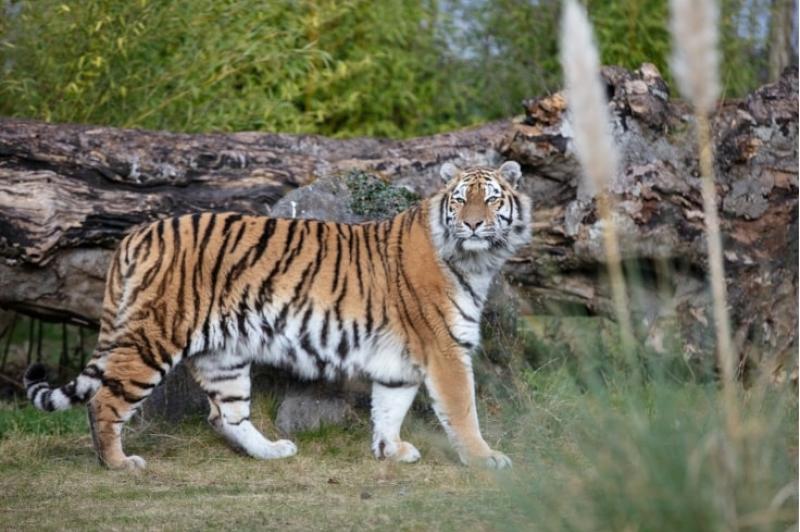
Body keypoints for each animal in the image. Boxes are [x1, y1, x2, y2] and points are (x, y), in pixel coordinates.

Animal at [24, 161, 532, 471]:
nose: (472, 224)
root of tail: (137, 233)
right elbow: (462, 410)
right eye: (461, 199)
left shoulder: (401, 360)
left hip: (224, 354)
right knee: (104, 402)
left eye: (491, 199)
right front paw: (485, 458)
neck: (475, 262)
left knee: (225, 416)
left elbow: (390, 406)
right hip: (152, 339)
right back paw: (118, 463)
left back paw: (272, 452)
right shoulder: (445, 350)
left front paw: (389, 450)